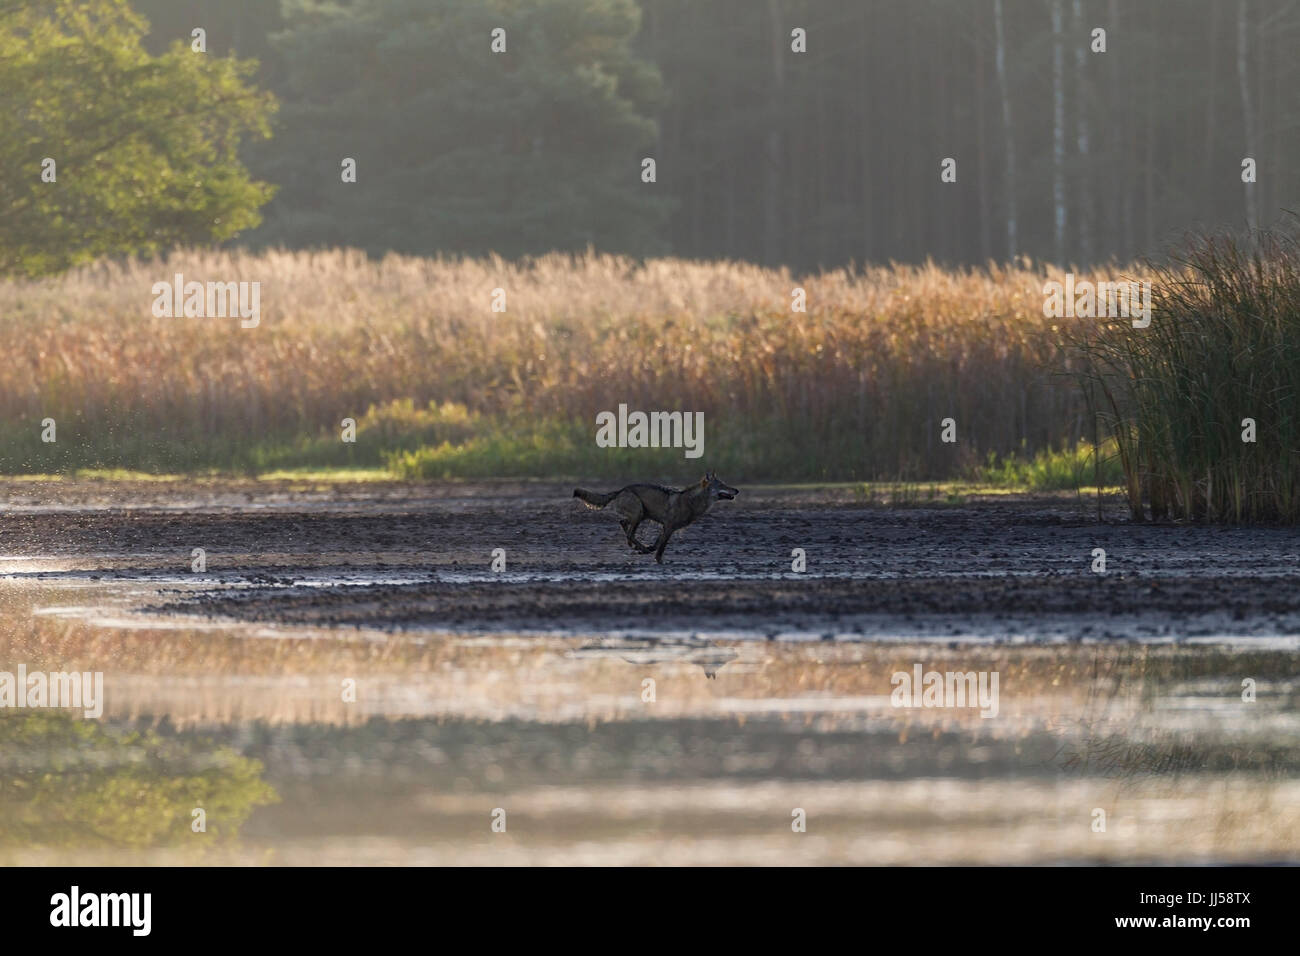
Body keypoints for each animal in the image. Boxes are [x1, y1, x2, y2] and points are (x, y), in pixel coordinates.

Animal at [573, 470, 739, 563]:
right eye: (722, 485)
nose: (737, 490)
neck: (692, 501)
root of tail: (621, 489)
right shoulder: (669, 527)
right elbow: (660, 549)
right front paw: (658, 560)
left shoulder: (665, 527)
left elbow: (656, 545)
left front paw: (646, 549)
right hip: (639, 514)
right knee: (629, 531)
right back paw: (638, 546)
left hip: (641, 516)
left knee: (624, 525)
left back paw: (636, 546)